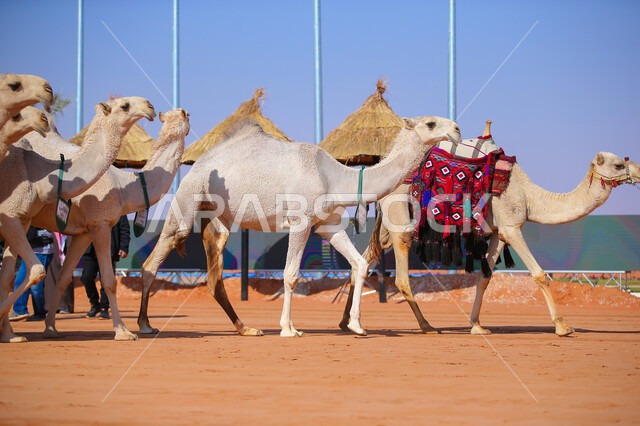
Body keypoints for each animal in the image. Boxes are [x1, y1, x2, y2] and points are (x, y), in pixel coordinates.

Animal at [0, 108, 189, 342]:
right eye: (185, 116)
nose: (185, 114)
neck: (124, 187)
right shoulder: (100, 223)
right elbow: (108, 279)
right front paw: (123, 332)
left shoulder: (84, 233)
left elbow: (63, 277)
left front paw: (51, 329)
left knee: (7, 275)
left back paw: (9, 333)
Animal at [137, 115, 461, 337]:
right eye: (430, 123)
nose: (456, 128)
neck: (335, 178)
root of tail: (201, 161)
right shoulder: (300, 221)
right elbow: (291, 274)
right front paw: (288, 328)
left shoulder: (327, 224)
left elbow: (359, 264)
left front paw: (356, 325)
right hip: (190, 193)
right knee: (159, 253)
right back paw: (144, 325)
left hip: (221, 218)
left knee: (214, 275)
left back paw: (246, 328)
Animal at [340, 147, 639, 337]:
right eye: (618, 164)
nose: (637, 171)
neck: (530, 197)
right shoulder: (512, 226)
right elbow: (539, 274)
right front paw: (563, 327)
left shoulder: (497, 231)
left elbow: (484, 278)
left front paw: (477, 325)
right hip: (399, 217)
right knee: (401, 275)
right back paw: (427, 326)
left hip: (385, 226)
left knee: (365, 259)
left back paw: (346, 323)